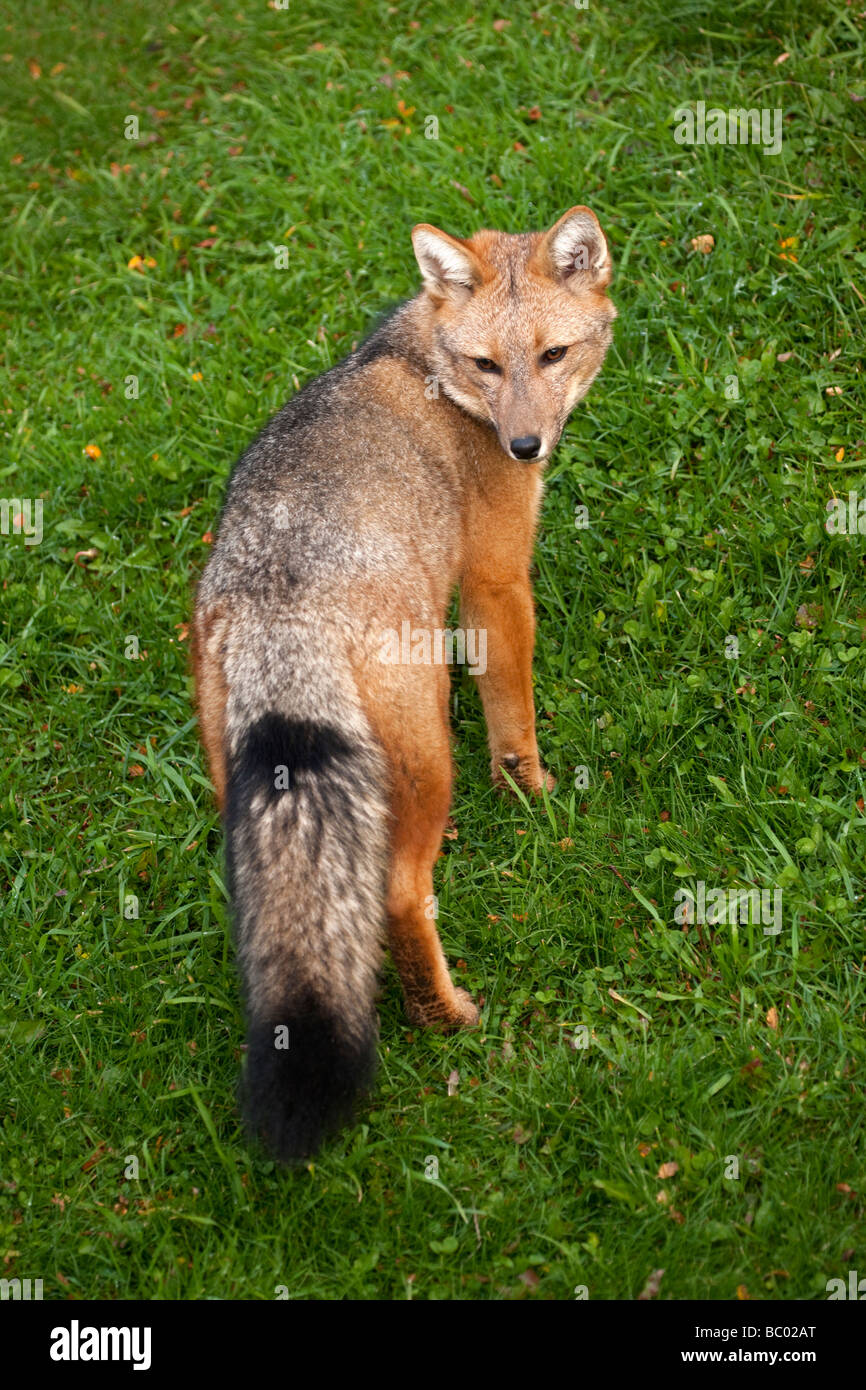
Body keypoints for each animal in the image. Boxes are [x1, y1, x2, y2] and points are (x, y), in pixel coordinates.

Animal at [192, 206, 616, 1162]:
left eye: (552, 355)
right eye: (488, 365)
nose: (526, 446)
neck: (425, 359)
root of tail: (280, 608)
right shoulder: (498, 579)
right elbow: (512, 717)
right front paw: (535, 794)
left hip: (244, 791)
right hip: (424, 772)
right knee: (395, 896)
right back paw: (445, 1015)